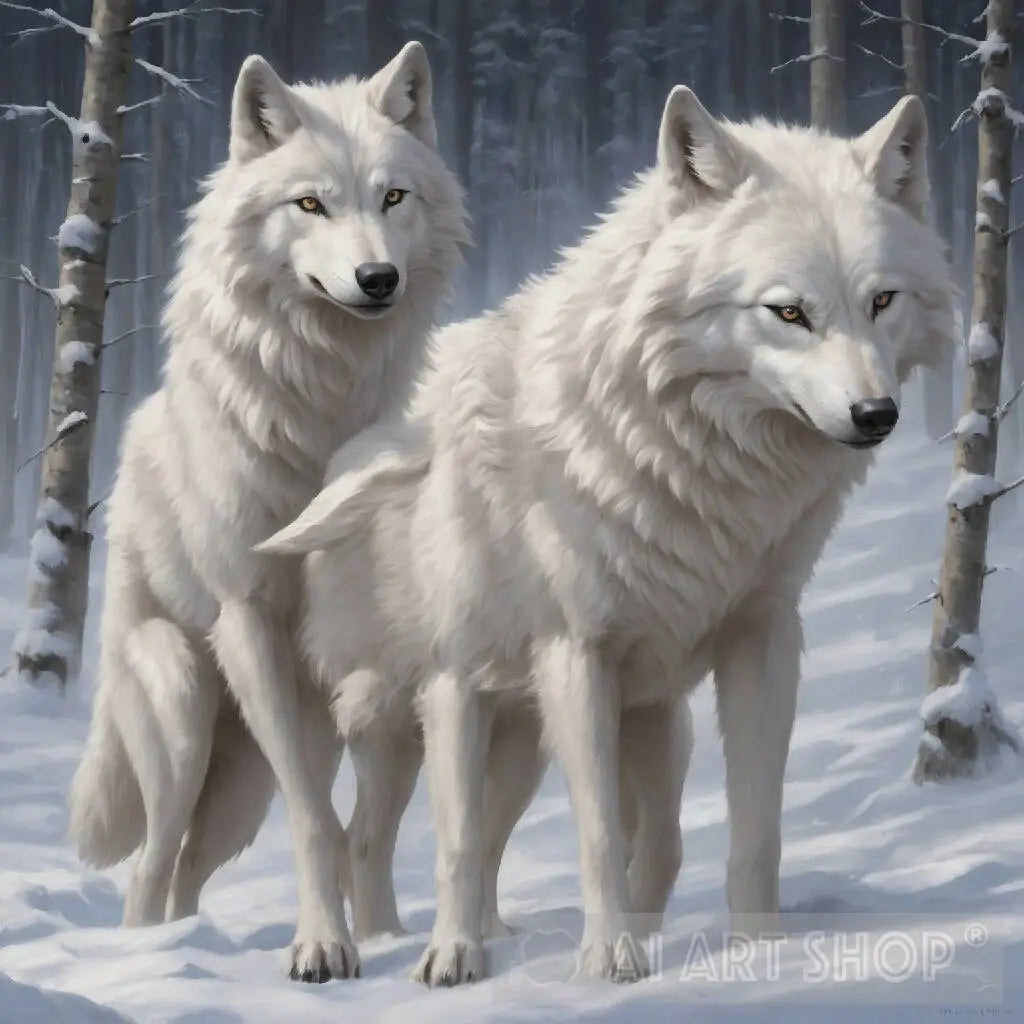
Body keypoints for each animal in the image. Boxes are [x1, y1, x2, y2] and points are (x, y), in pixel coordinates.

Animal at [68, 42, 468, 982]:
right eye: (310, 202)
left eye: (394, 196)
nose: (377, 278)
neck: (323, 408)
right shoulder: (248, 620)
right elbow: (319, 821)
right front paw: (322, 947)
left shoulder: (390, 662)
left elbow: (367, 832)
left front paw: (385, 939)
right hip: (185, 714)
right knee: (150, 864)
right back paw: (150, 957)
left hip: (243, 789)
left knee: (189, 866)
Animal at [262, 85, 958, 984]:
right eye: (789, 313)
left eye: (882, 301)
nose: (876, 415)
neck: (684, 463)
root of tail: (353, 446)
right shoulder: (576, 655)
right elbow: (595, 834)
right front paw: (612, 962)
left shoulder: (758, 641)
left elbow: (747, 825)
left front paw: (761, 954)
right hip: (427, 704)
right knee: (382, 836)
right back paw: (414, 951)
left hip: (553, 739)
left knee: (503, 843)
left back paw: (480, 938)